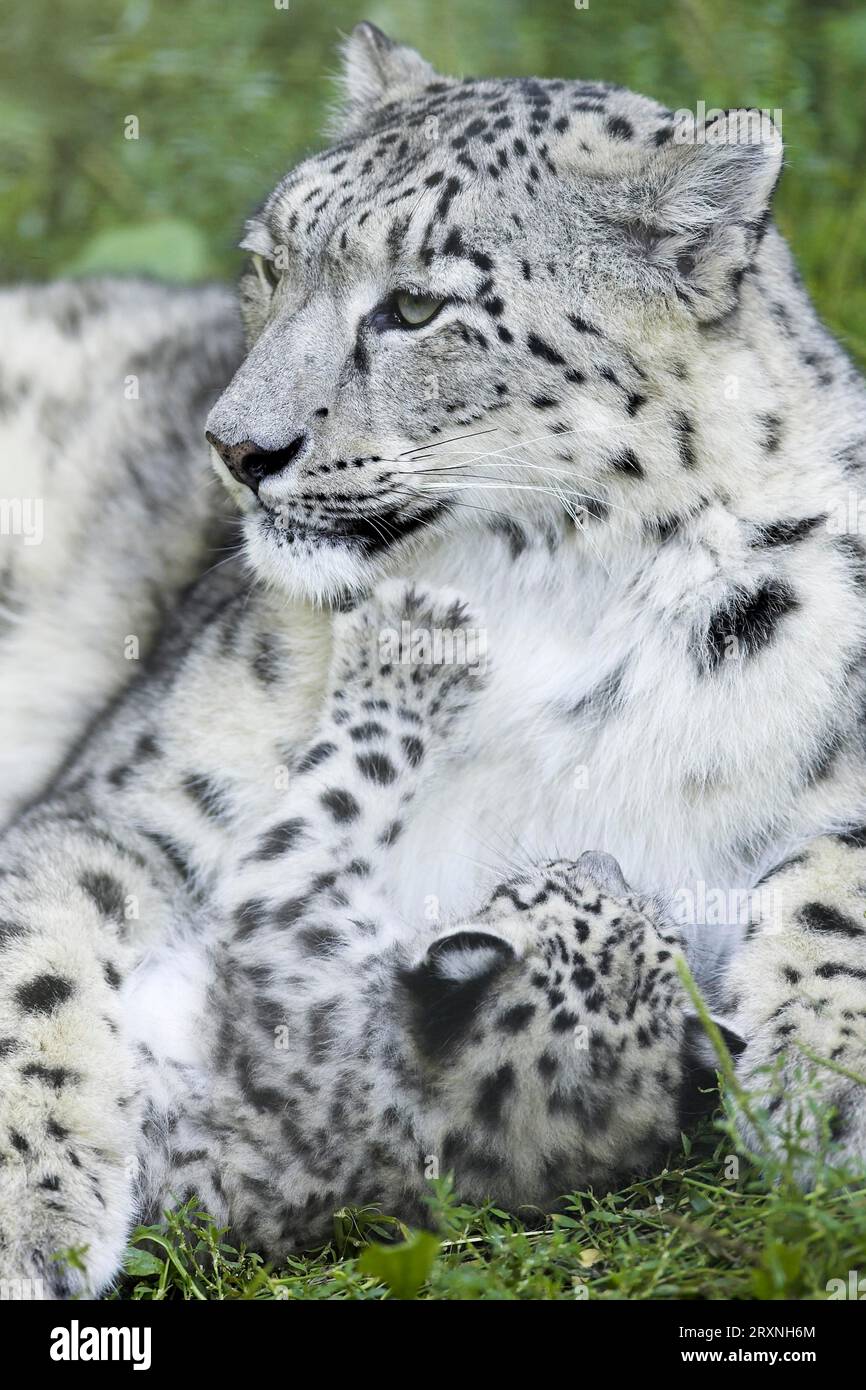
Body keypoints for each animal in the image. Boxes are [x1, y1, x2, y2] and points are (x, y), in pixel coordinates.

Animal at [1, 22, 866, 1297]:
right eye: (270, 264)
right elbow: (40, 947)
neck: (545, 616)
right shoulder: (127, 805)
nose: (235, 446)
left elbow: (834, 874)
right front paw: (31, 1216)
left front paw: (821, 1097)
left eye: (414, 305)